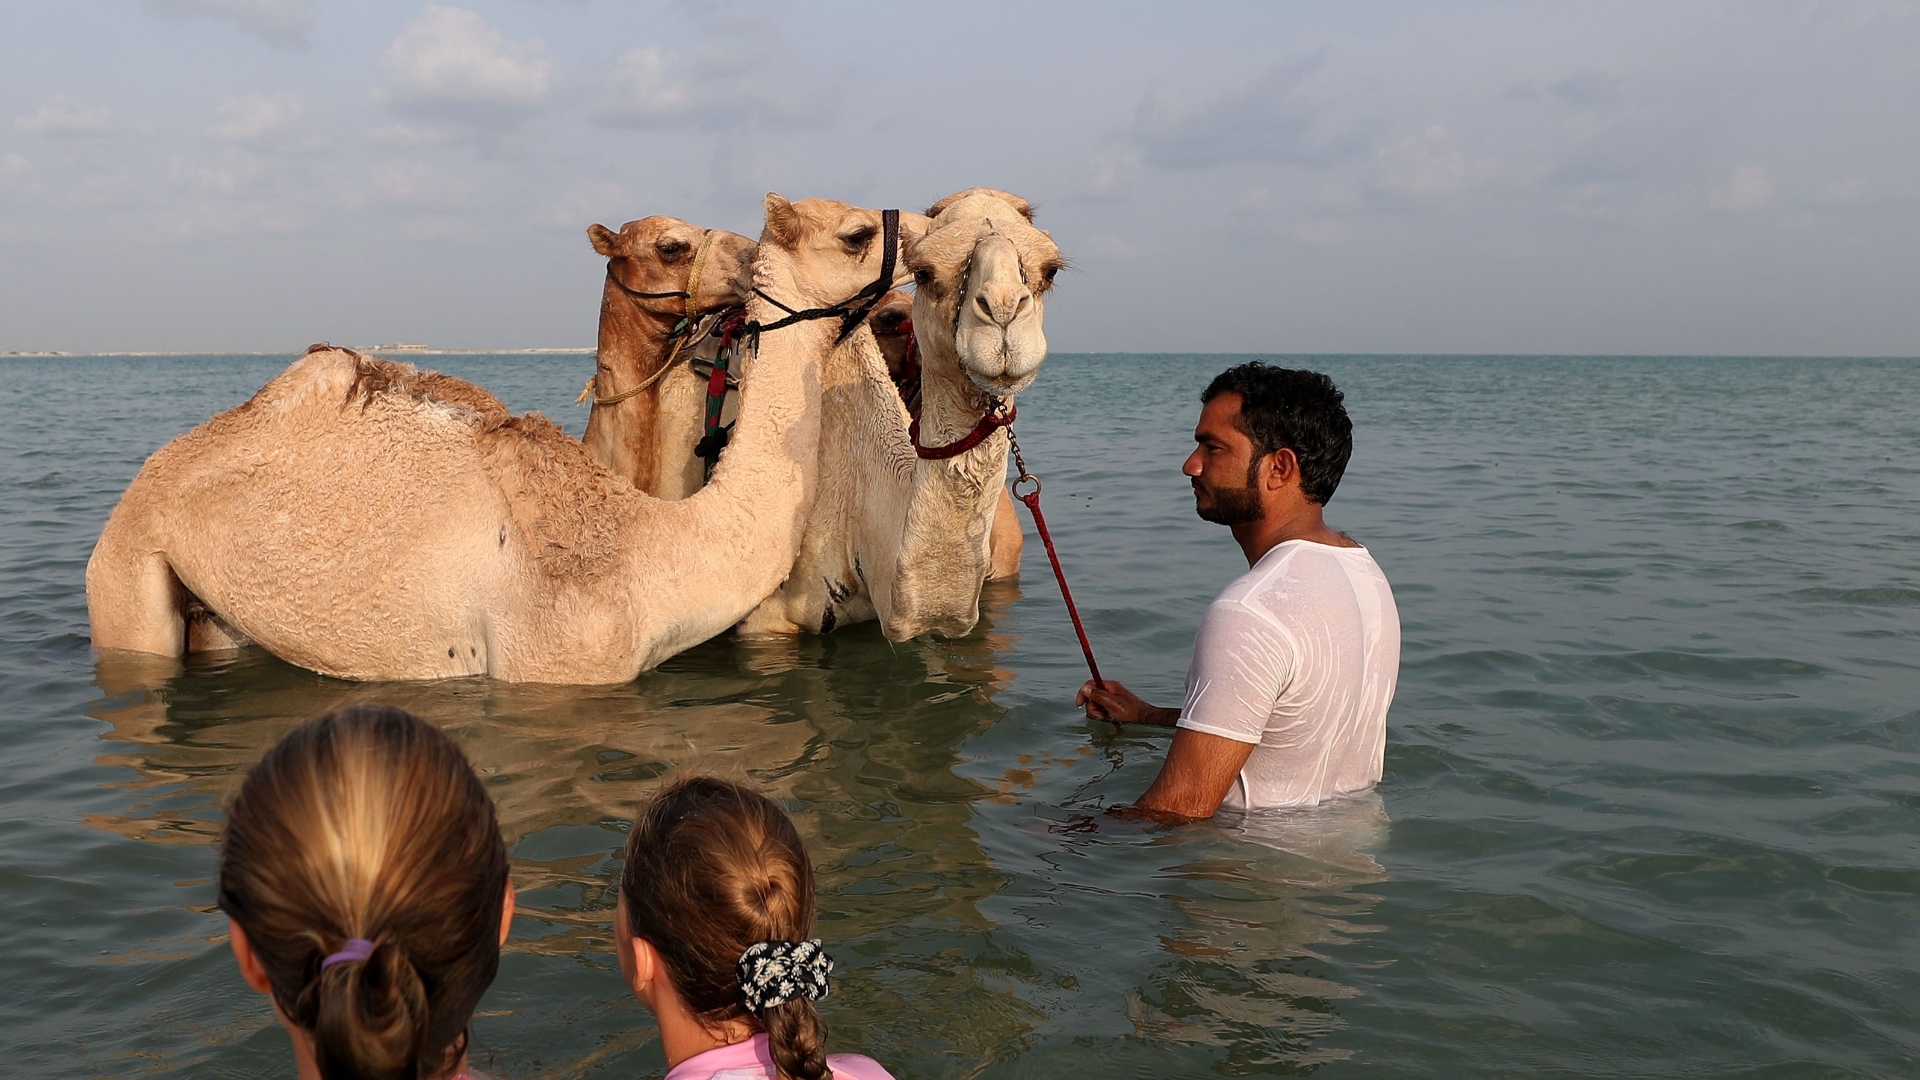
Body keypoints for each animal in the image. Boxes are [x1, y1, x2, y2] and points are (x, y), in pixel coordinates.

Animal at [85, 195, 918, 683]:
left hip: (216, 615)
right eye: (856, 233)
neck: (653, 543)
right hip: (126, 575)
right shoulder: (553, 667)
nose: (926, 228)